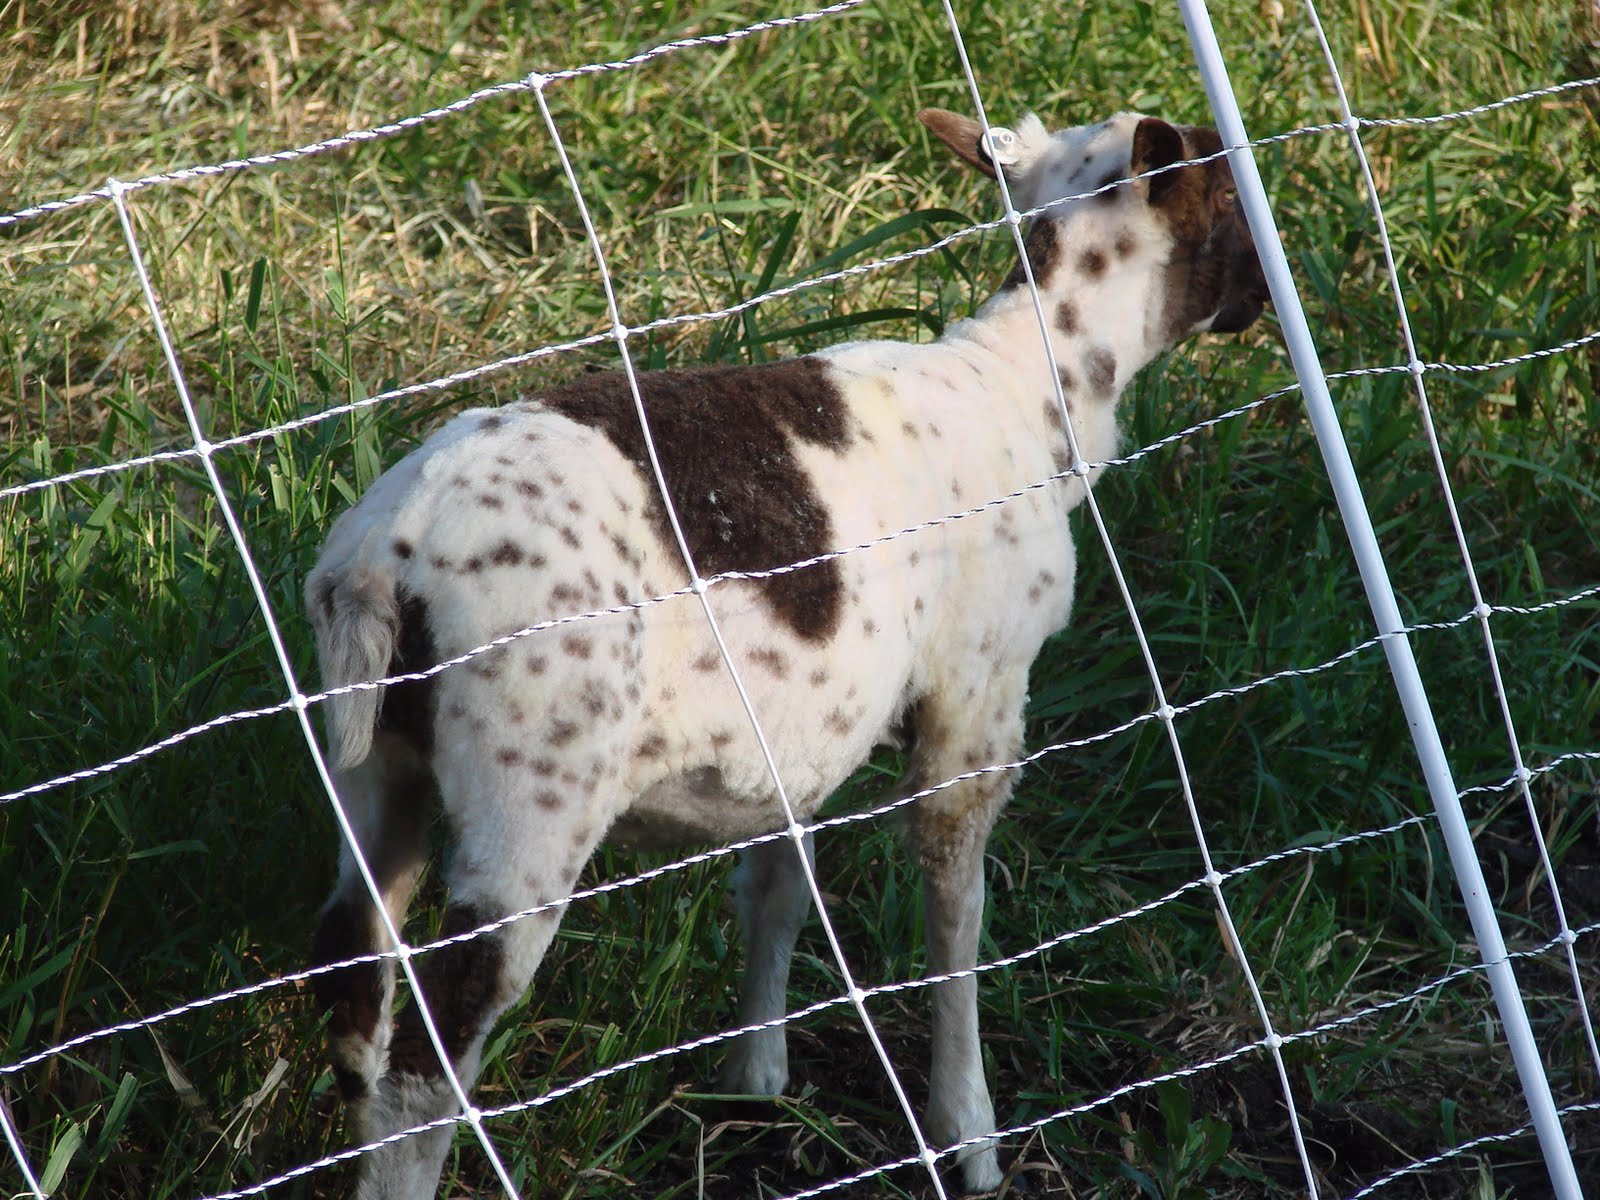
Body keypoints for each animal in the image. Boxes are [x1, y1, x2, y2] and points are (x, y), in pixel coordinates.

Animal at [304, 104, 1269, 1199]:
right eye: (1225, 186)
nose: (1264, 295)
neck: (1030, 387)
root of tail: (381, 563)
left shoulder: (791, 733)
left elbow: (775, 887)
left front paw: (756, 1078)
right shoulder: (978, 697)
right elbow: (954, 912)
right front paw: (969, 1133)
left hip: (376, 767)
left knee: (352, 979)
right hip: (533, 789)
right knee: (428, 1060)